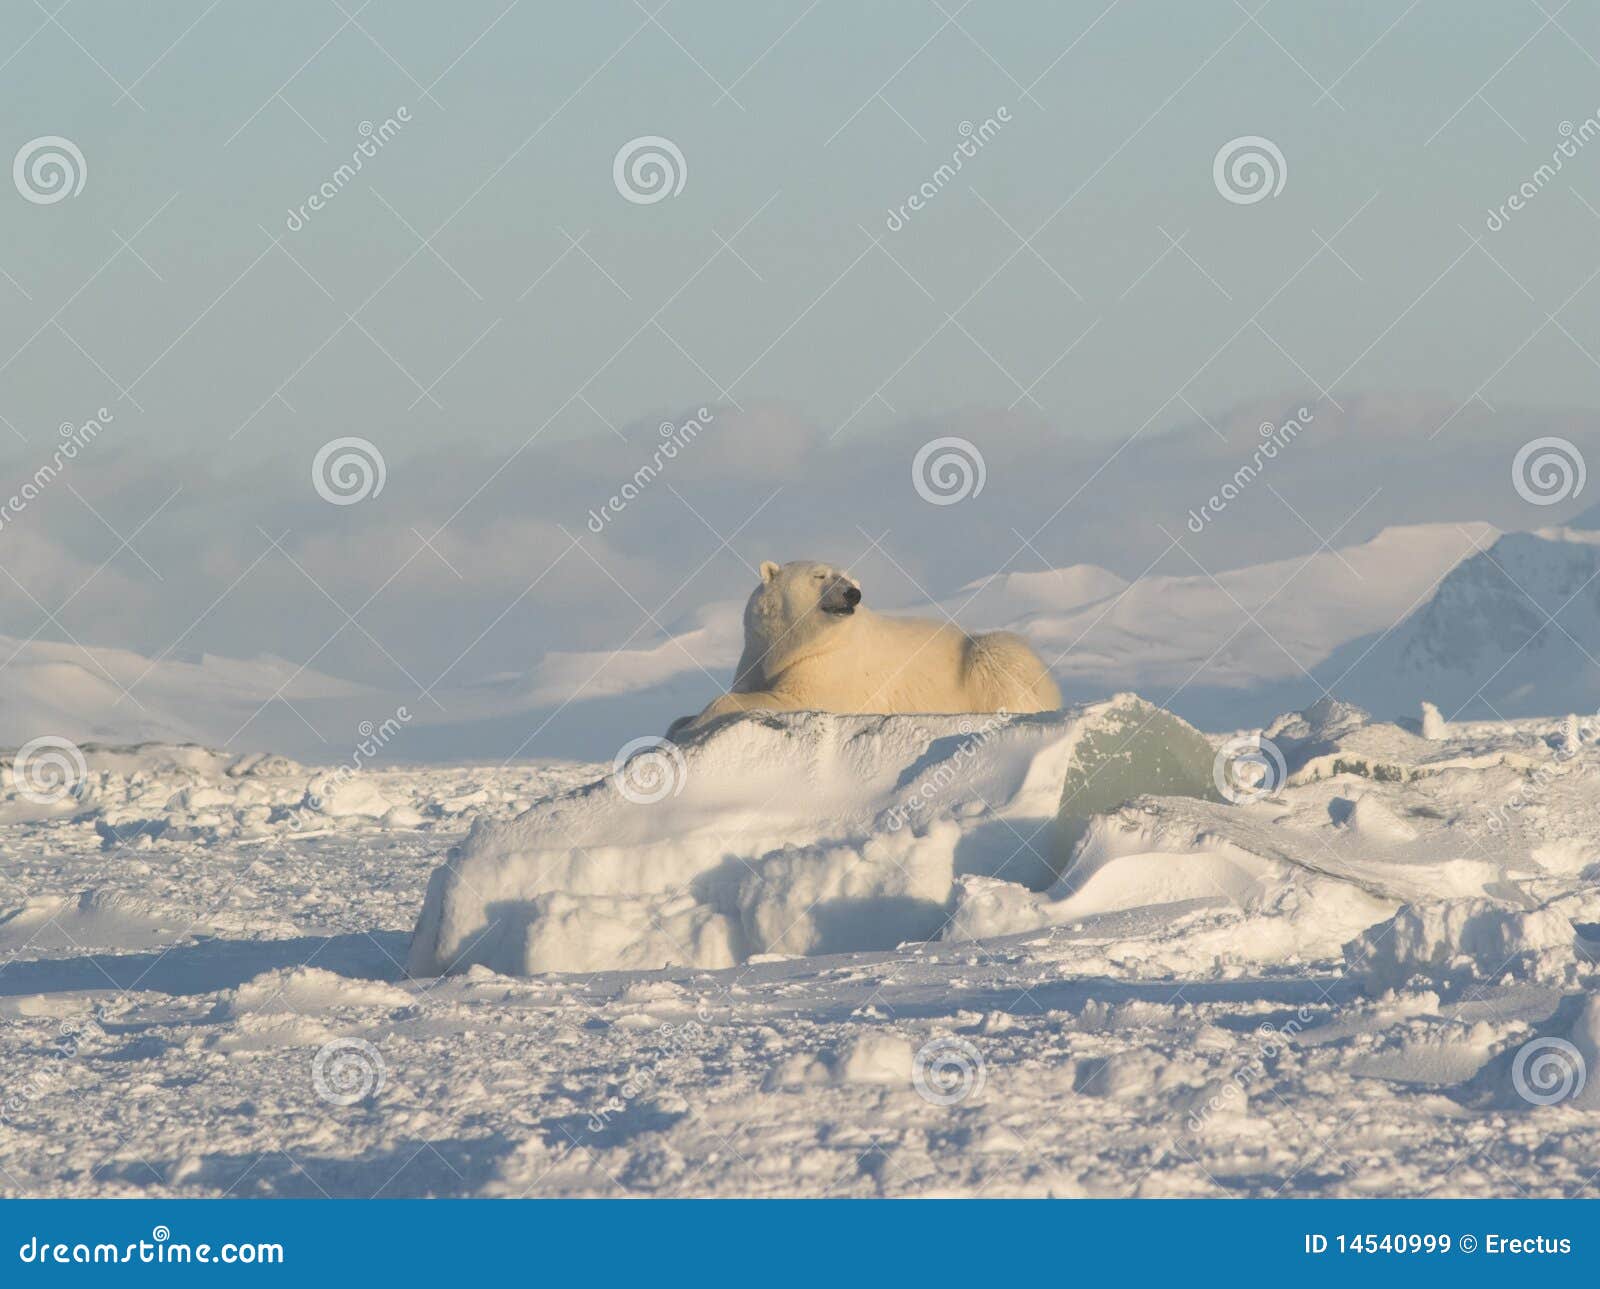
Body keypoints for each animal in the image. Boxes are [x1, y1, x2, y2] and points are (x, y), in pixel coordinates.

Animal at [668, 559, 1061, 736]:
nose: (852, 593)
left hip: (993, 654)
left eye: (848, 577)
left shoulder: (827, 663)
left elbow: (796, 698)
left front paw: (694, 723)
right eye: (820, 576)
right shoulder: (757, 653)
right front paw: (681, 721)